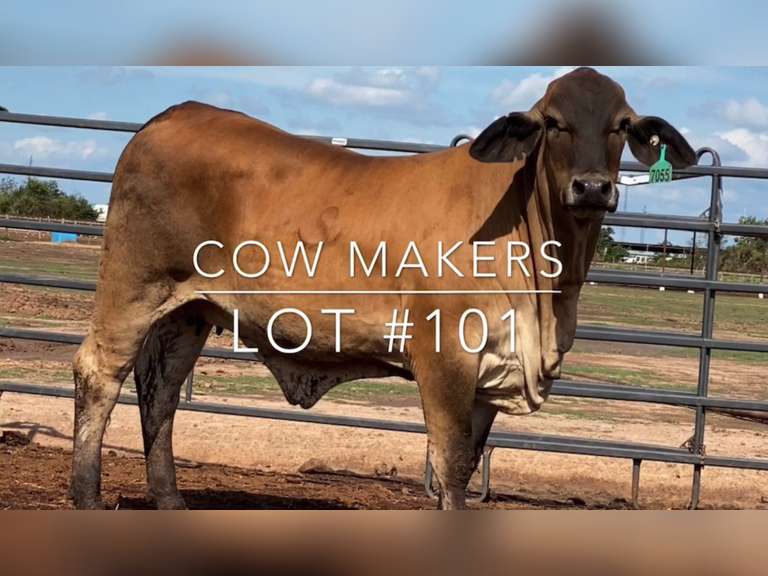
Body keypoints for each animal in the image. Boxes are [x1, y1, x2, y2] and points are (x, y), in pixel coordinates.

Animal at [71, 67, 695, 509]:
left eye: (621, 125)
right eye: (554, 122)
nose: (592, 188)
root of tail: (174, 115)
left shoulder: (491, 368)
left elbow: (468, 462)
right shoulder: (445, 356)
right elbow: (449, 463)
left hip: (189, 310)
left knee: (161, 391)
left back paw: (170, 501)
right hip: (132, 286)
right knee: (99, 374)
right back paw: (88, 498)